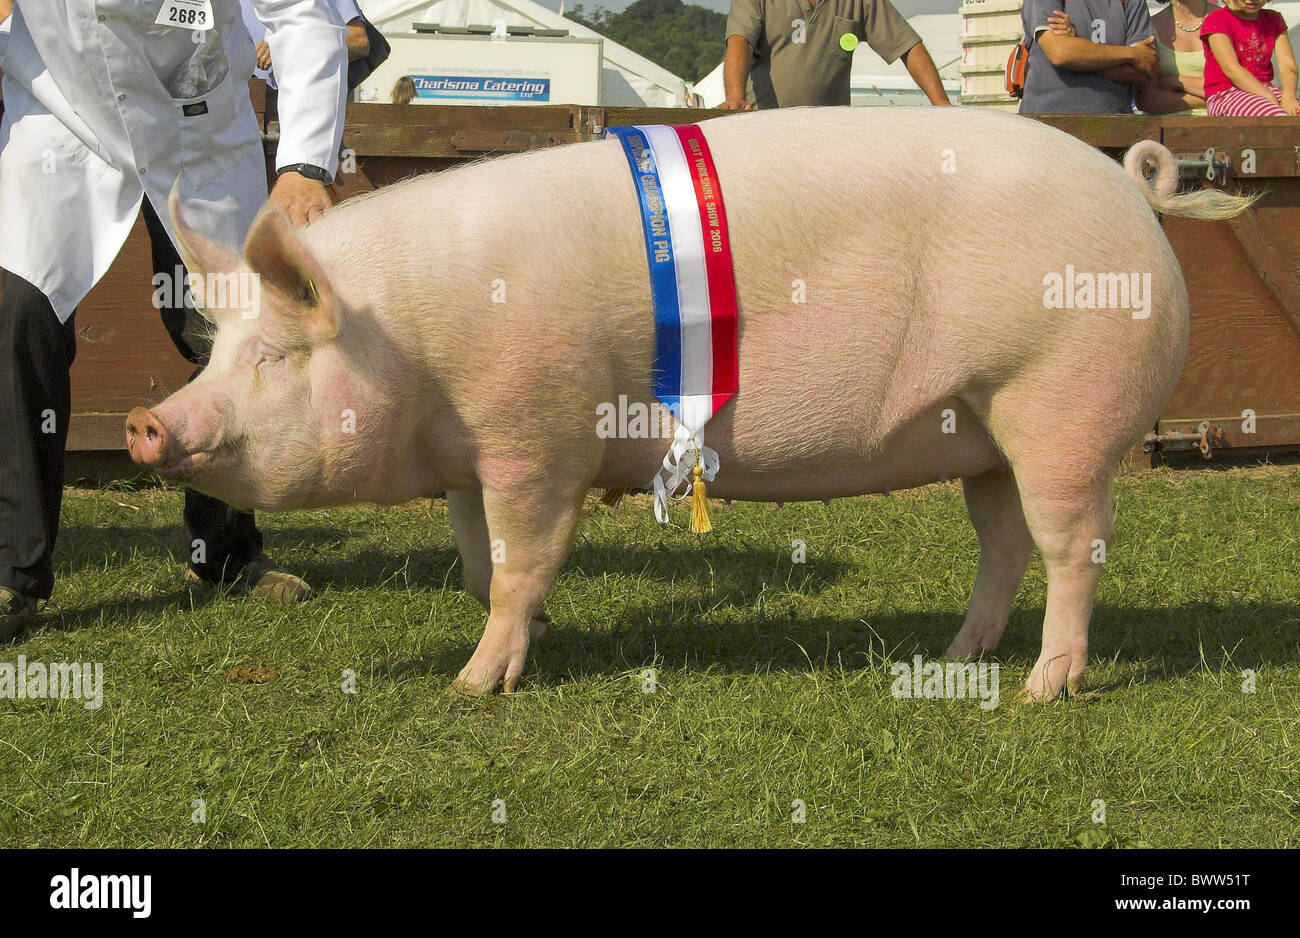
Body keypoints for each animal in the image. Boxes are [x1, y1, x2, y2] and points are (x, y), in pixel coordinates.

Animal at [125, 107, 1254, 701]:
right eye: (216, 351)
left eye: (274, 354)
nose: (147, 421)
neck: (410, 348)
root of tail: (1134, 189)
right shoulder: (473, 457)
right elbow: (482, 564)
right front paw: (527, 645)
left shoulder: (538, 436)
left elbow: (519, 561)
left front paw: (471, 686)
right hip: (977, 425)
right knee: (1005, 541)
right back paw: (953, 655)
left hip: (1060, 401)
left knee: (1074, 546)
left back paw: (1038, 689)